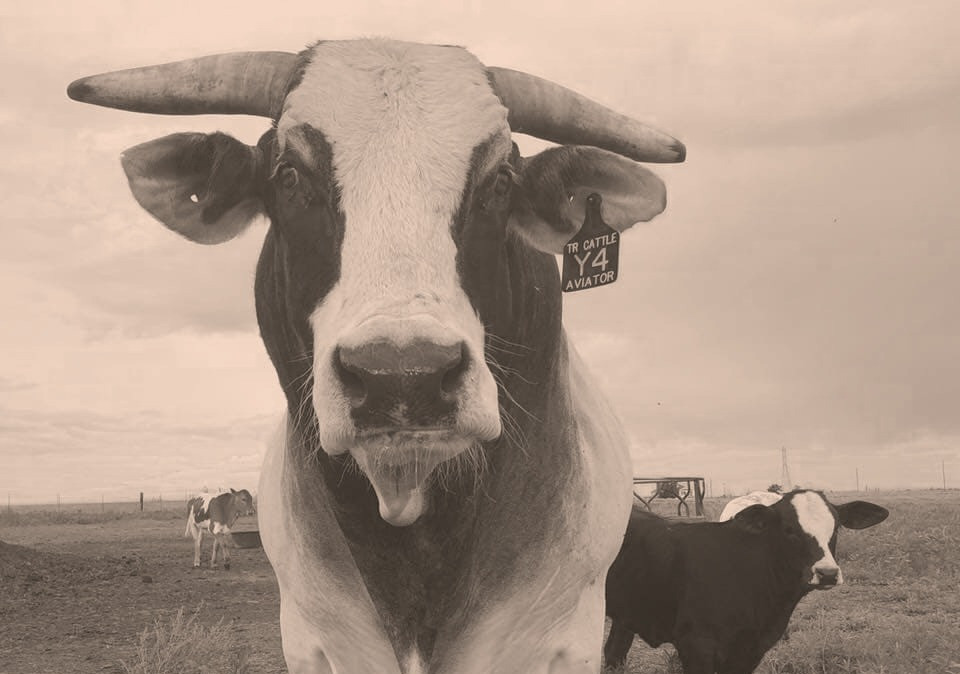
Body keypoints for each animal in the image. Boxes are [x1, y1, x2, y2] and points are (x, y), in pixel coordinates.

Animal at [603, 490, 889, 673]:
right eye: (789, 530)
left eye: (836, 527)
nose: (827, 572)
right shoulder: (696, 645)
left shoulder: (750, 650)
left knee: (614, 652)